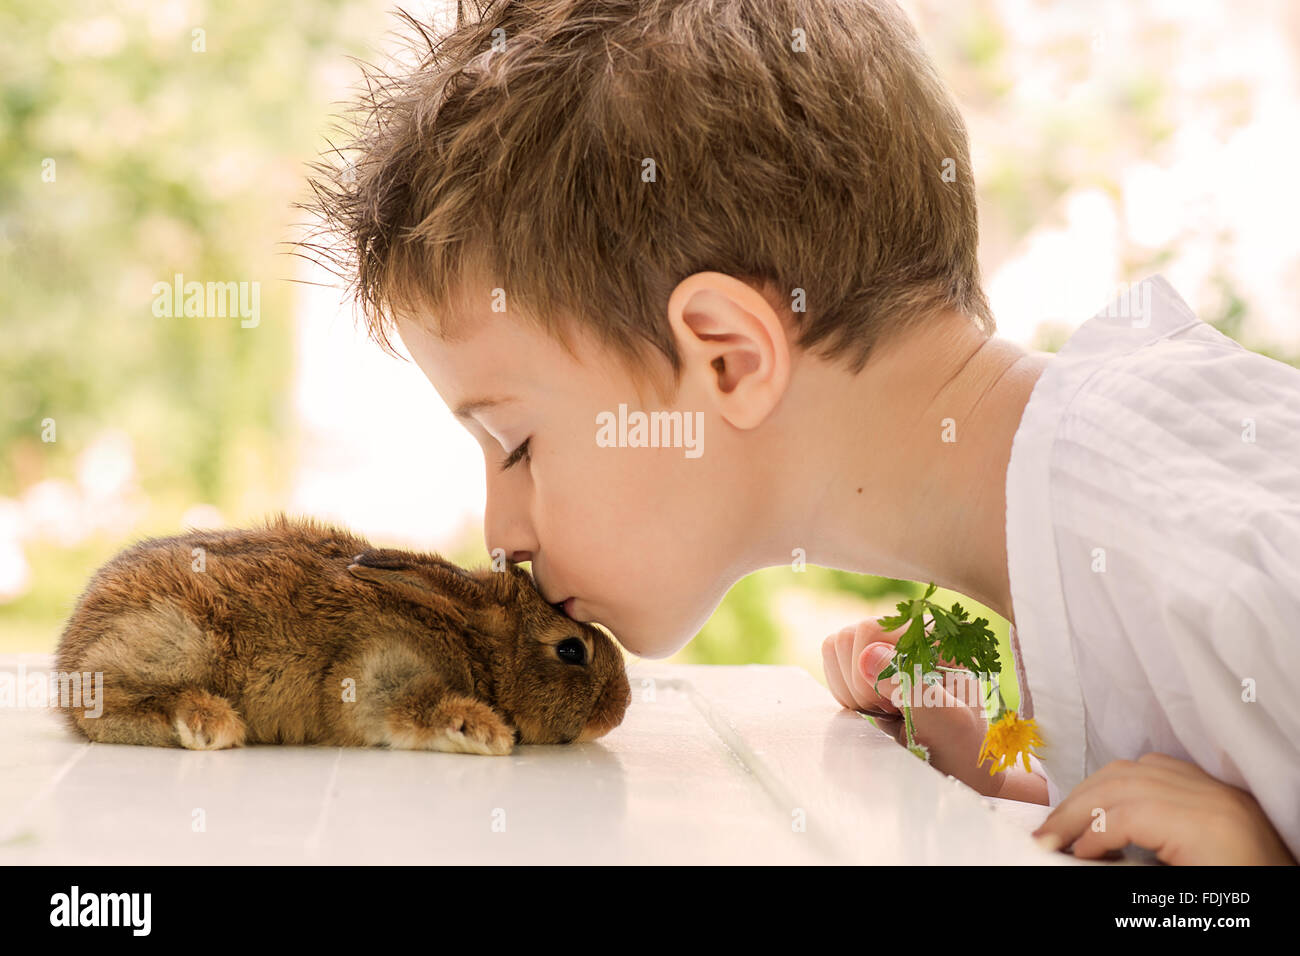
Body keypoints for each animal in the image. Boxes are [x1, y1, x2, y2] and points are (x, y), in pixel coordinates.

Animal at [53, 512, 631, 755]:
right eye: (571, 649)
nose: (621, 707)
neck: (473, 645)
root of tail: (66, 659)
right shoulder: (379, 670)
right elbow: (412, 707)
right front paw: (485, 733)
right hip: (177, 639)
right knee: (109, 707)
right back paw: (210, 724)